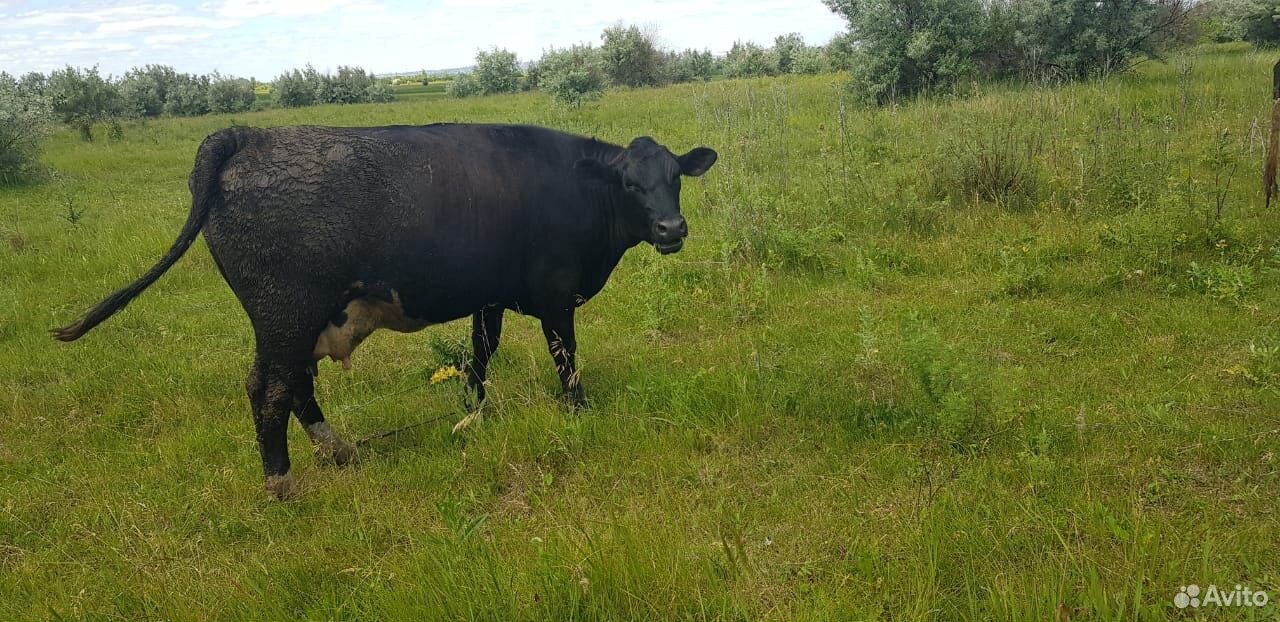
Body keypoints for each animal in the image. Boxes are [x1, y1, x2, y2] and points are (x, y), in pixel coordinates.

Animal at [53, 124, 718, 499]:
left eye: (676, 178)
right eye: (629, 183)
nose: (672, 228)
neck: (576, 188)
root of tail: (248, 134)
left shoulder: (489, 295)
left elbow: (482, 351)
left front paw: (473, 410)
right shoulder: (557, 298)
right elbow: (566, 358)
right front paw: (578, 411)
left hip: (293, 321)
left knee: (291, 385)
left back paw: (338, 450)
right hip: (285, 314)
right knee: (270, 390)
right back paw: (282, 483)